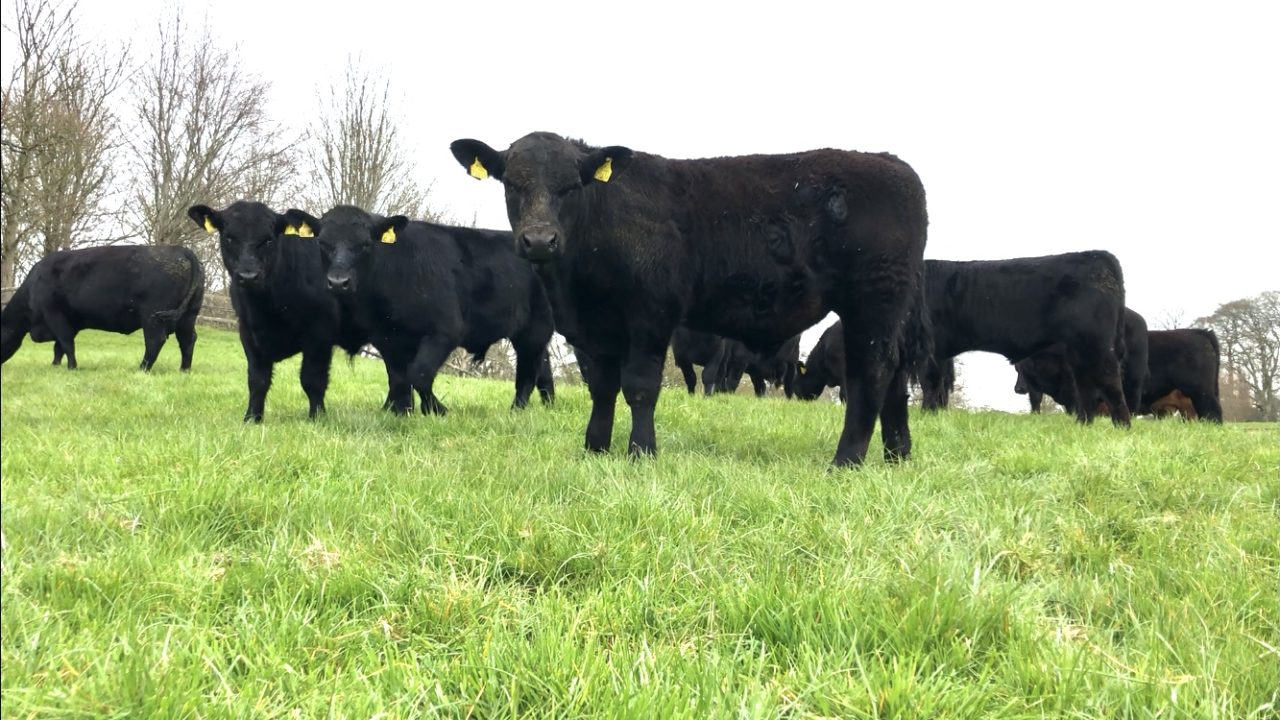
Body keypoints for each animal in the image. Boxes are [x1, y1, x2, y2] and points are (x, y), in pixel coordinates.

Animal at [1, 245, 203, 371]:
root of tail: (180, 249)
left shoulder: (55, 315)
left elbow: (66, 344)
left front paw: (72, 367)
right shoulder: (69, 322)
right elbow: (59, 347)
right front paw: (55, 365)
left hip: (152, 316)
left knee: (155, 341)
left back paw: (142, 369)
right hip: (188, 315)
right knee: (187, 339)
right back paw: (184, 369)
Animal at [188, 201, 374, 422]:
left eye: (268, 239)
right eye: (229, 237)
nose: (248, 276)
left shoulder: (320, 332)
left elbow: (312, 379)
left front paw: (317, 417)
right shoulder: (247, 332)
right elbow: (257, 380)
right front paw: (252, 418)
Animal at [281, 205, 557, 415]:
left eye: (366, 244)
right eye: (322, 243)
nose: (338, 282)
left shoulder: (444, 331)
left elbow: (419, 374)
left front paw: (436, 410)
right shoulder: (387, 338)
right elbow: (398, 377)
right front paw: (398, 411)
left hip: (536, 329)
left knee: (527, 373)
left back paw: (516, 410)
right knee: (542, 366)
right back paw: (548, 405)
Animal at [451, 132, 929, 466]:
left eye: (571, 186)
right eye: (511, 184)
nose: (539, 240)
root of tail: (891, 163)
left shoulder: (651, 315)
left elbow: (640, 386)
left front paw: (641, 452)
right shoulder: (591, 331)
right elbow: (601, 388)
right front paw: (594, 449)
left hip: (873, 300)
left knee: (872, 370)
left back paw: (846, 460)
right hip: (893, 307)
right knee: (896, 373)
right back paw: (897, 455)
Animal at [918, 252, 1132, 427]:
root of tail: (1098, 255)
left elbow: (930, 383)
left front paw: (926, 415)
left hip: (1096, 345)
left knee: (1110, 381)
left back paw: (1122, 426)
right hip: (1079, 350)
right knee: (1086, 384)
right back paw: (1083, 424)